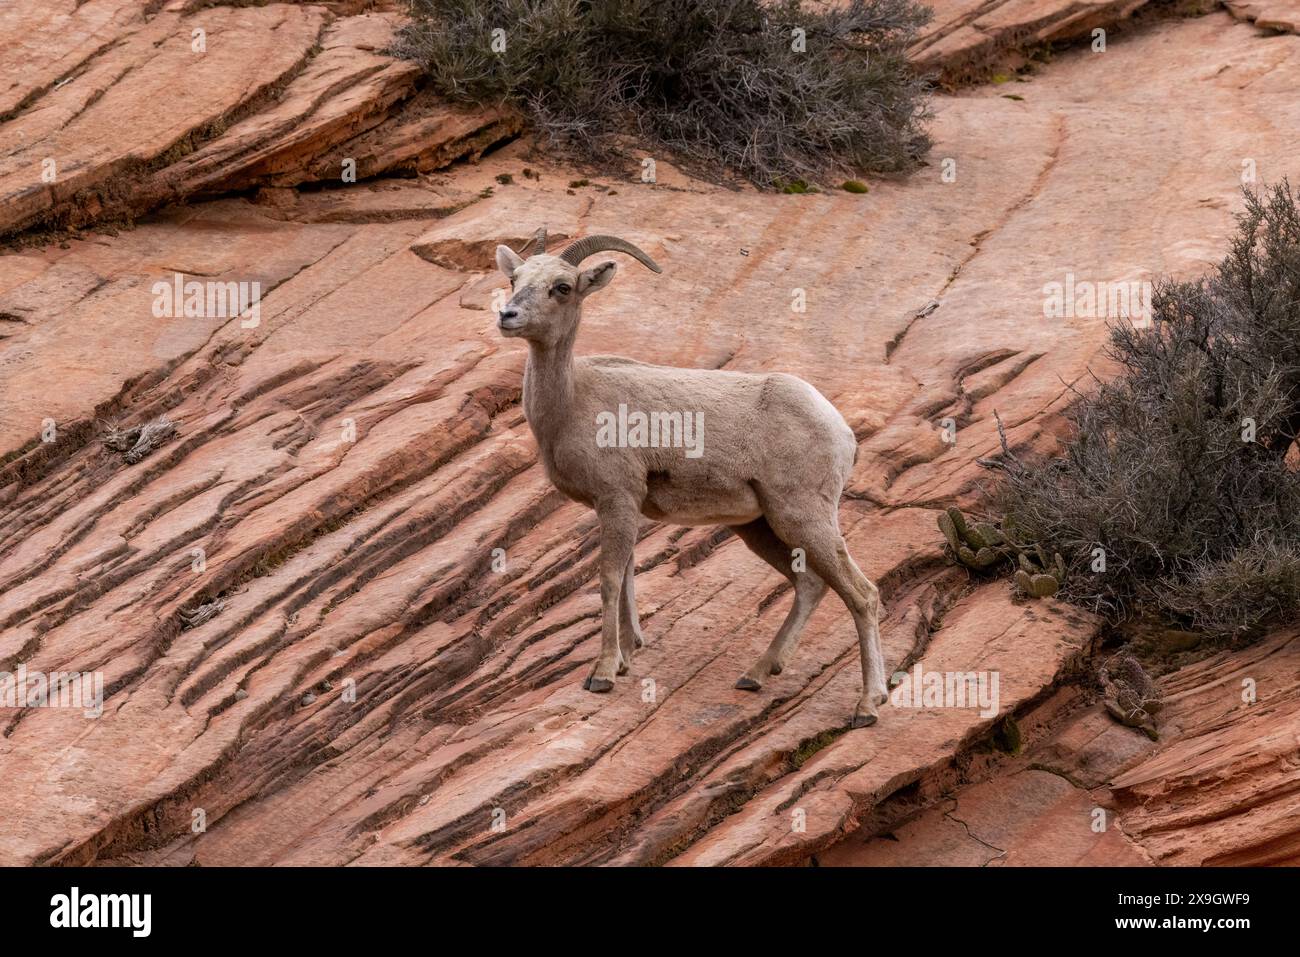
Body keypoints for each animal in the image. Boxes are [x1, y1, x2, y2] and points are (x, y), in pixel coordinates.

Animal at [494, 230, 888, 727]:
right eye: (515, 278)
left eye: (562, 287)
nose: (507, 315)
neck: (573, 402)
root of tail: (842, 431)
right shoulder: (622, 509)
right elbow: (628, 578)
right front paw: (626, 659)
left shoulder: (617, 500)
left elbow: (608, 579)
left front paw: (602, 674)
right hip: (758, 527)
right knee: (810, 585)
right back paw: (756, 675)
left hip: (803, 517)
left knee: (862, 594)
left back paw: (868, 706)